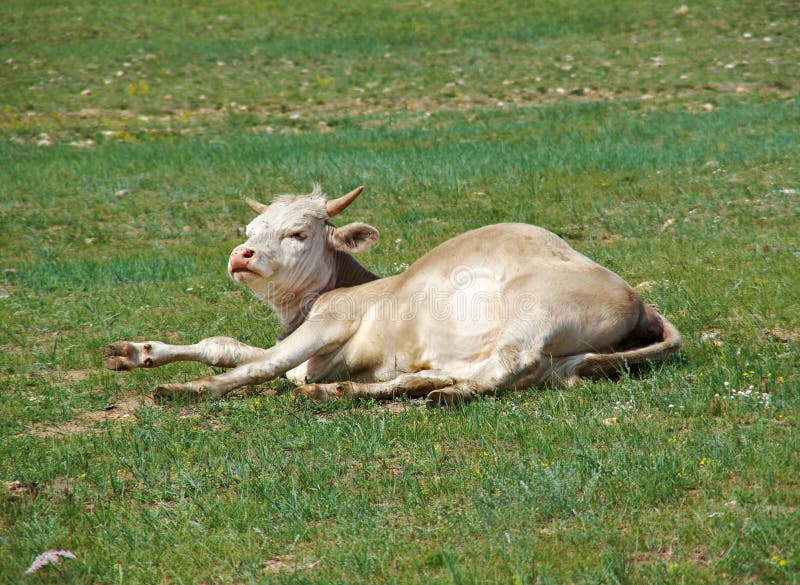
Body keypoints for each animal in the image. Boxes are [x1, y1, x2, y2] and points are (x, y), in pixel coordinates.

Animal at [103, 185, 681, 405]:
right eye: (251, 228)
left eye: (299, 232)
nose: (242, 255)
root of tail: (640, 300)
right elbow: (231, 347)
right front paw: (135, 352)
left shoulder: (331, 322)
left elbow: (261, 364)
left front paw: (189, 388)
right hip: (566, 361)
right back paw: (349, 390)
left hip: (534, 308)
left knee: (509, 364)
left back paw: (446, 395)